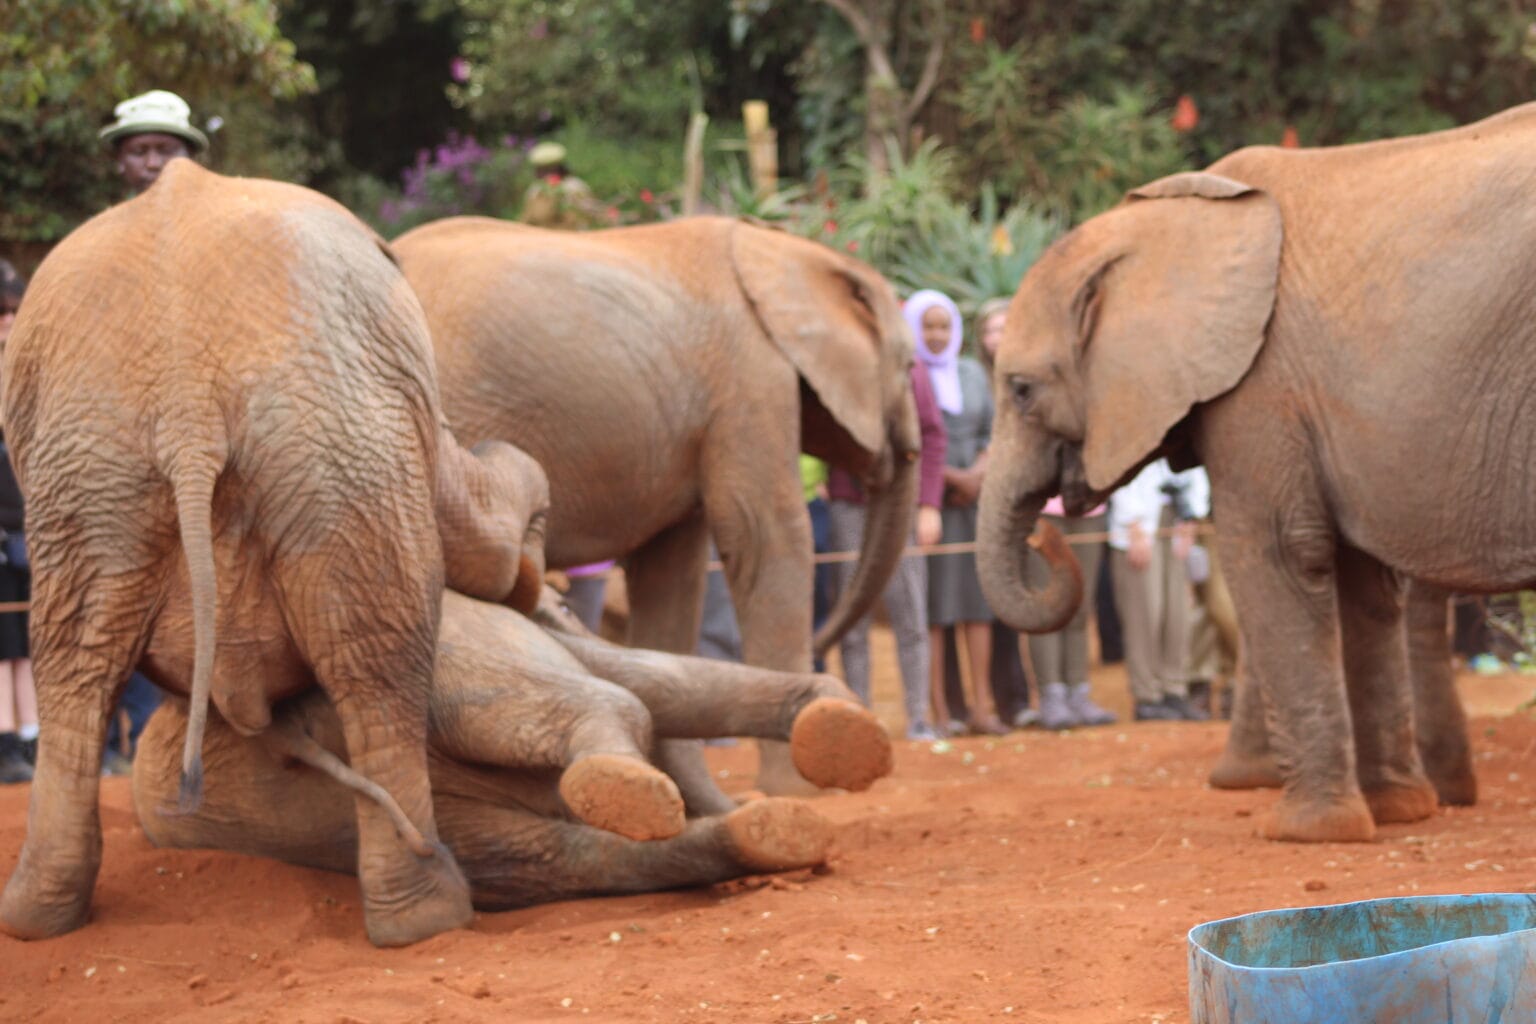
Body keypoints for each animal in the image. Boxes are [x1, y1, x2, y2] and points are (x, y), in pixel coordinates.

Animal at [0, 160, 544, 946]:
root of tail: (186, 406)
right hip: (338, 432)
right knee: (381, 659)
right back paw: (431, 917)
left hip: (94, 466)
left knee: (73, 668)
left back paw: (36, 919)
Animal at [131, 585, 894, 910]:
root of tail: (278, 724)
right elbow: (661, 685)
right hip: (428, 655)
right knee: (607, 708)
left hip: (297, 819)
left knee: (541, 861)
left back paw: (770, 833)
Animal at [393, 216, 921, 809]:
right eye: (909, 365)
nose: (822, 644)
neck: (786, 247)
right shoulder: (751, 375)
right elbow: (766, 536)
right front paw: (803, 790)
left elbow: (673, 572)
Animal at [976, 103, 1536, 843]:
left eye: (1020, 390)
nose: (1046, 536)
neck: (1161, 218)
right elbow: (1363, 582)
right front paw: (1397, 812)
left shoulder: (1260, 387)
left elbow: (1280, 553)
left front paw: (1306, 831)